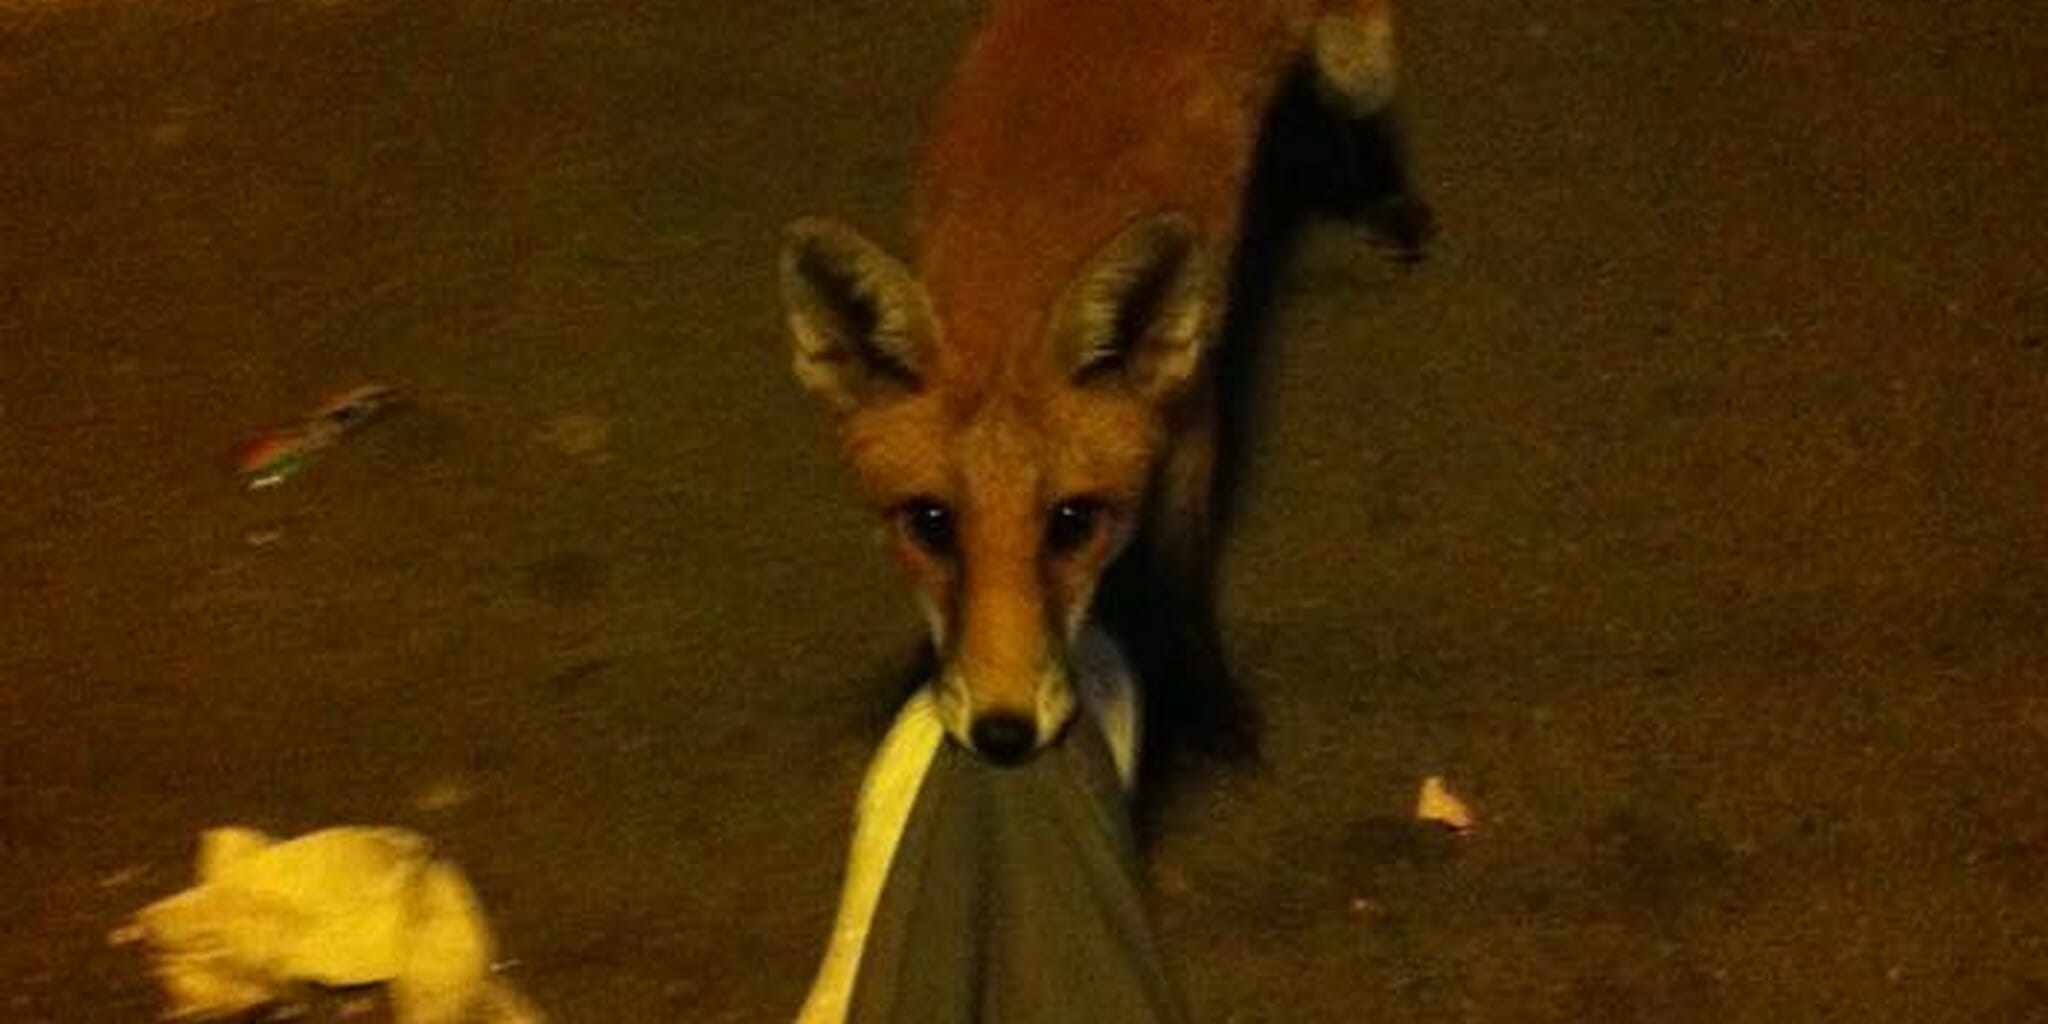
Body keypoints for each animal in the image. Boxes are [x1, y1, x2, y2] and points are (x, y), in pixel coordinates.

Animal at [778, 0, 1403, 765]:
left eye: (1073, 523)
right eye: (930, 524)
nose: (1003, 735)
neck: (1020, 255)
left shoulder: (1191, 419)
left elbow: (1180, 578)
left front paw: (1209, 704)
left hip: (1357, 66)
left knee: (1361, 112)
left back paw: (1388, 197)